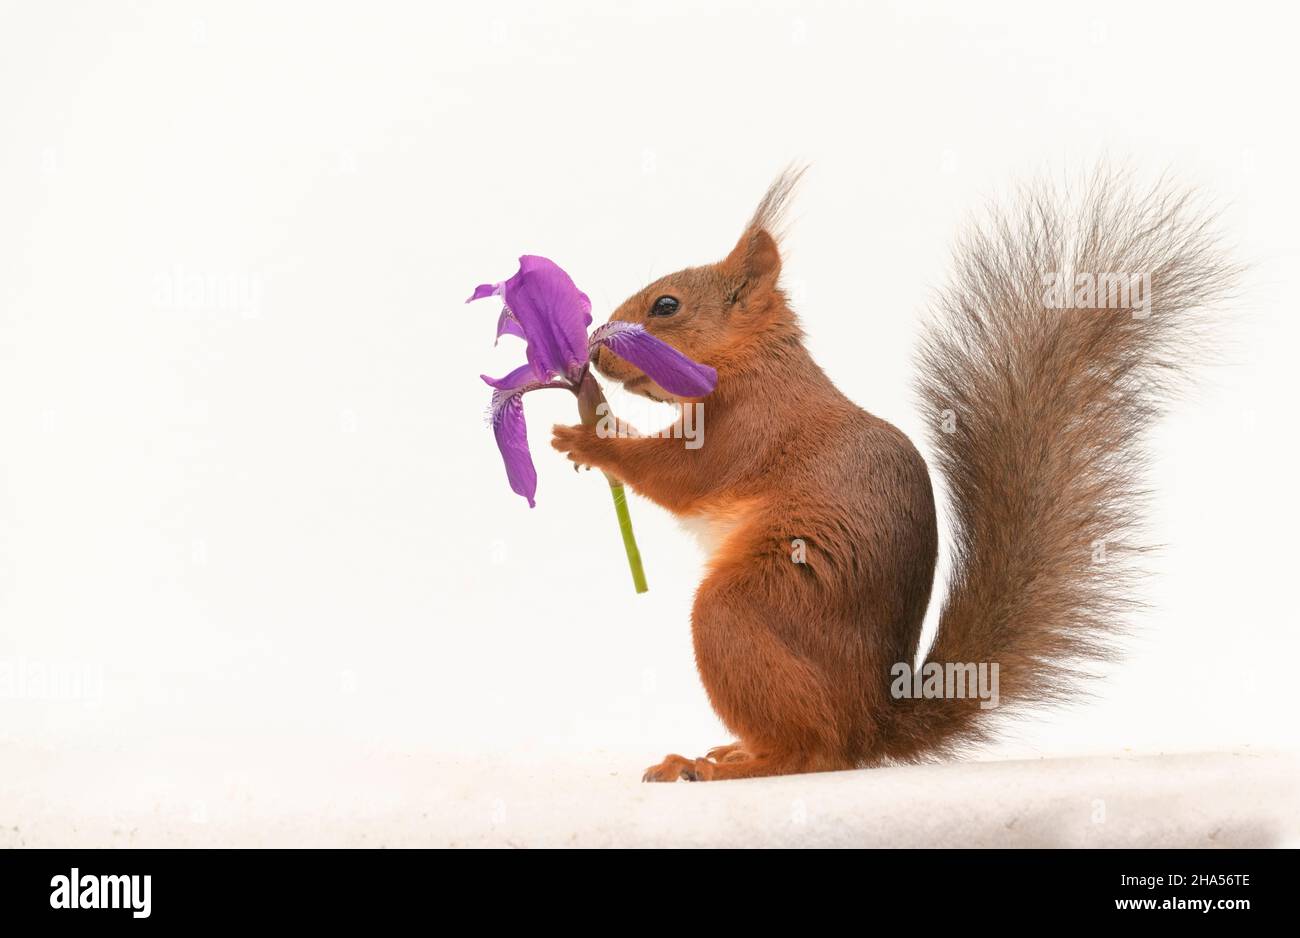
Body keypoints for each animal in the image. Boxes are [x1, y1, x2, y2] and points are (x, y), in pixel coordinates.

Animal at [551, 167, 1236, 782]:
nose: (593, 350)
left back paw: (717, 766)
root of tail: (872, 726)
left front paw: (588, 438)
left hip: (745, 612)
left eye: (666, 306)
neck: (758, 361)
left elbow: (680, 476)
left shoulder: (751, 428)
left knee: (814, 753)